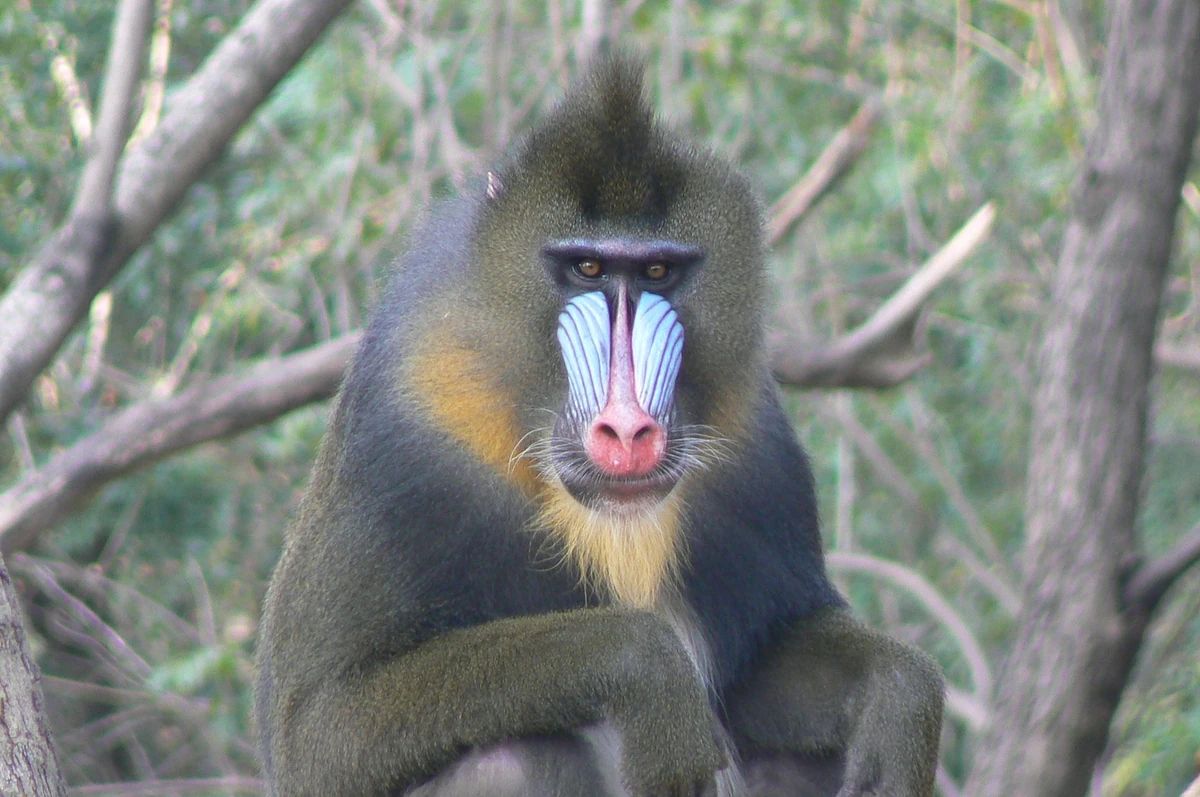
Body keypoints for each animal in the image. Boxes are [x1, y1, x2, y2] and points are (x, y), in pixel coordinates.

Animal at [254, 53, 944, 797]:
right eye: (586, 267)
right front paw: (648, 676)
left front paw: (899, 699)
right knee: (513, 760)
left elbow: (773, 656)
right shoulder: (399, 445)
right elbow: (323, 731)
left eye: (658, 271)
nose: (628, 431)